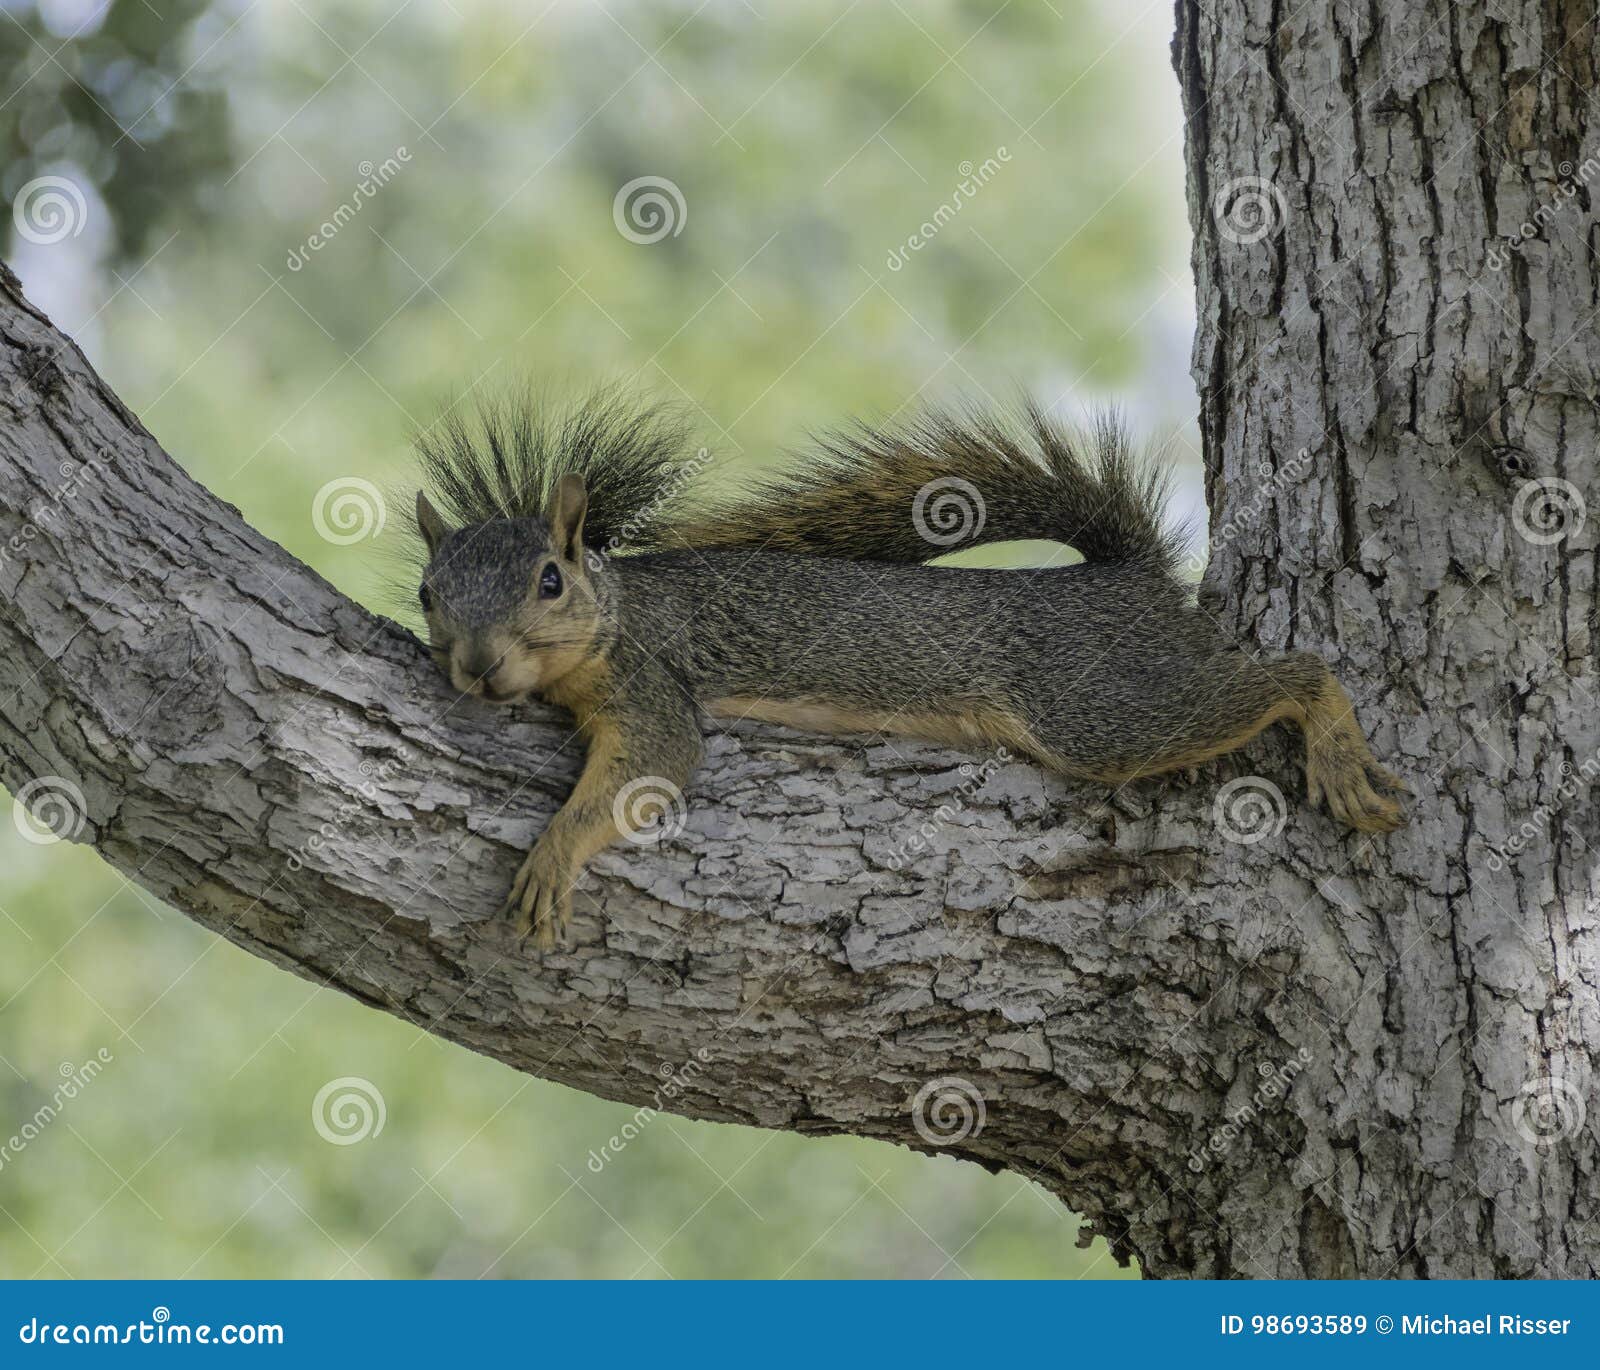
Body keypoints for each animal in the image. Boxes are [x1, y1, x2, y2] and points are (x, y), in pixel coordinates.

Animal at [410, 390, 1408, 949]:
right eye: (426, 593)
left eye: (550, 580)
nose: (478, 666)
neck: (613, 615)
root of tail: (1130, 580)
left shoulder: (652, 683)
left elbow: (647, 767)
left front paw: (552, 858)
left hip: (1104, 707)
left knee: (1292, 675)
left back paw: (1339, 751)